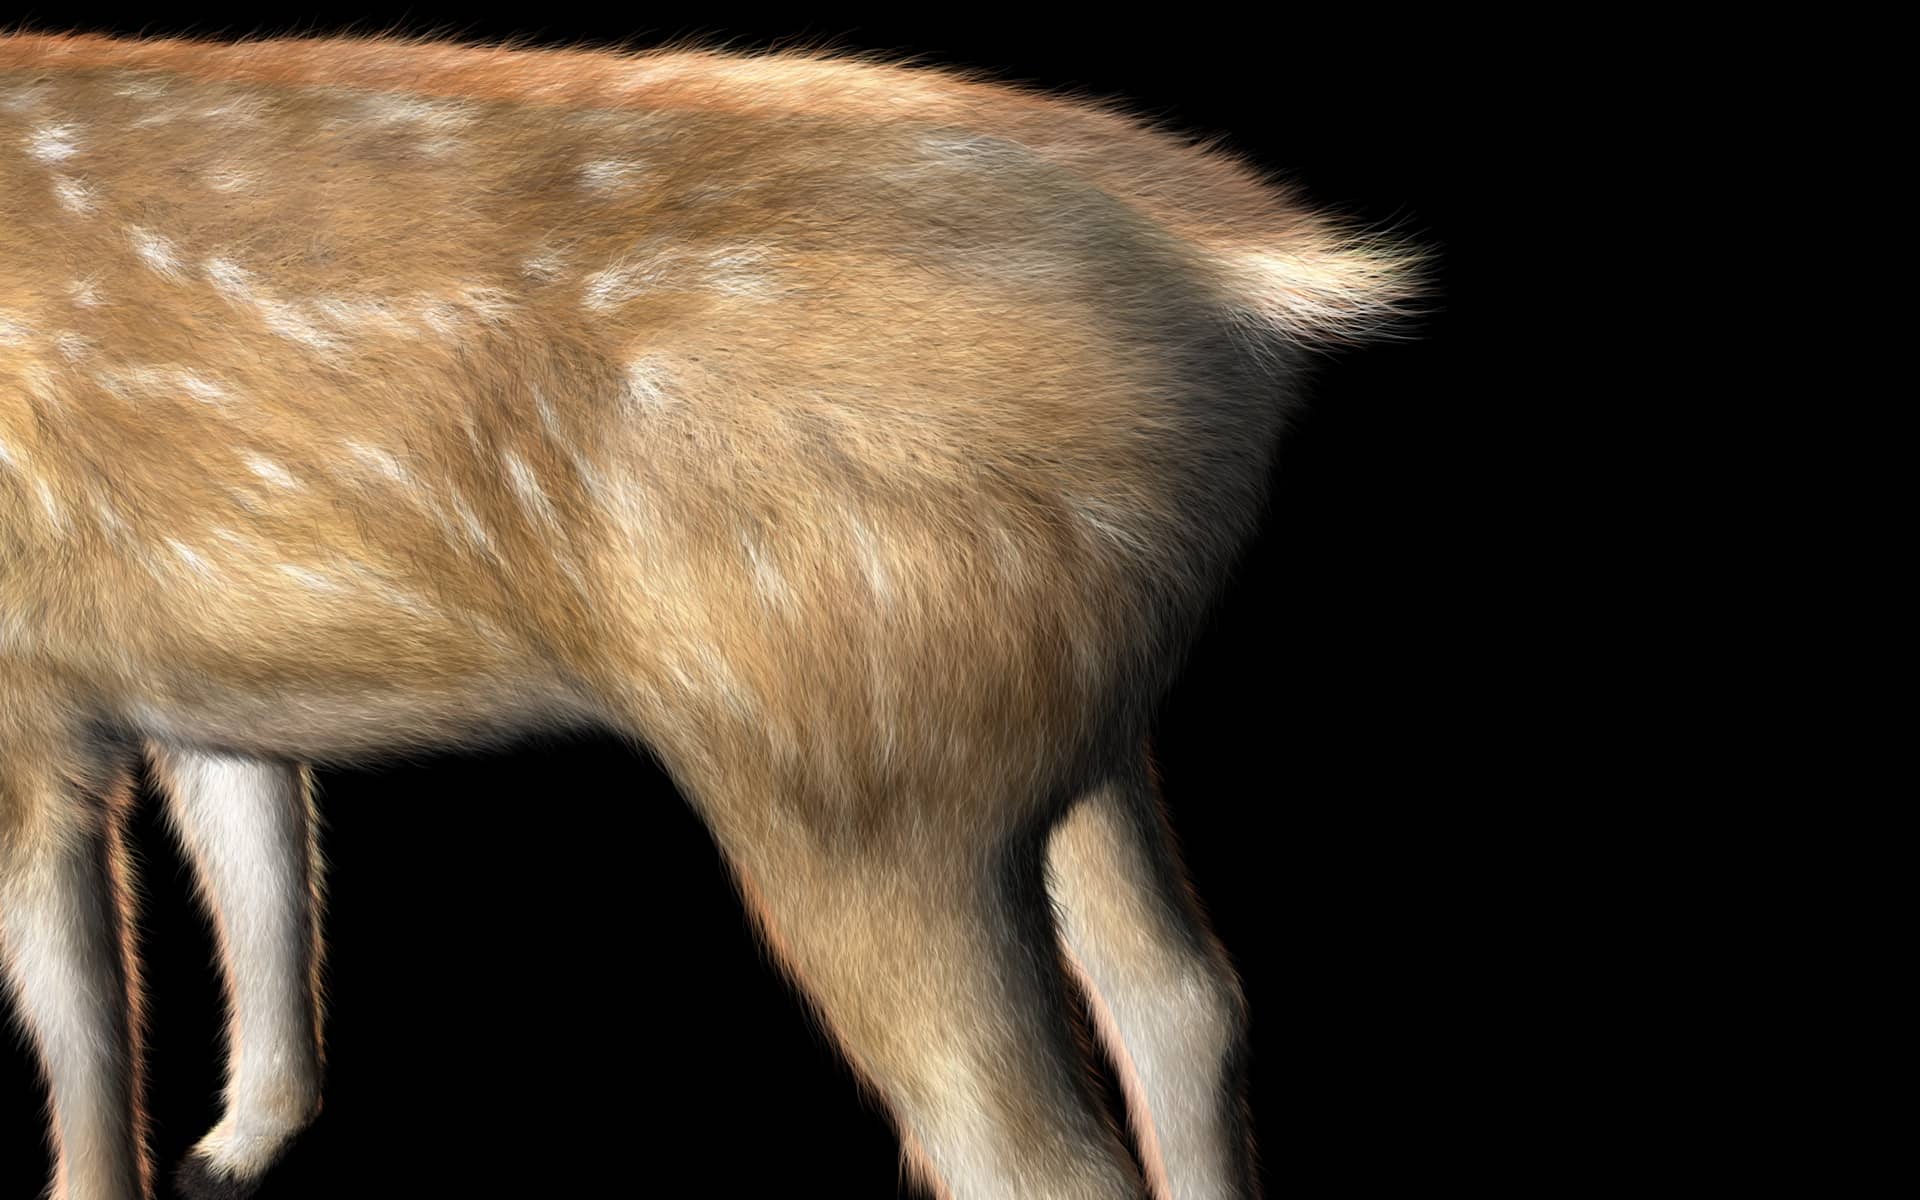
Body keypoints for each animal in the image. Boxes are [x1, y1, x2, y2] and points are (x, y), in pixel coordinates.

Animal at [0, 29, 1423, 1200]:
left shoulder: (27, 686)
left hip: (857, 757)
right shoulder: (195, 674)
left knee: (1028, 1153)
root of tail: (1241, 278)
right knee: (1184, 998)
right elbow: (257, 871)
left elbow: (68, 1009)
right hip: (1068, 727)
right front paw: (237, 1147)